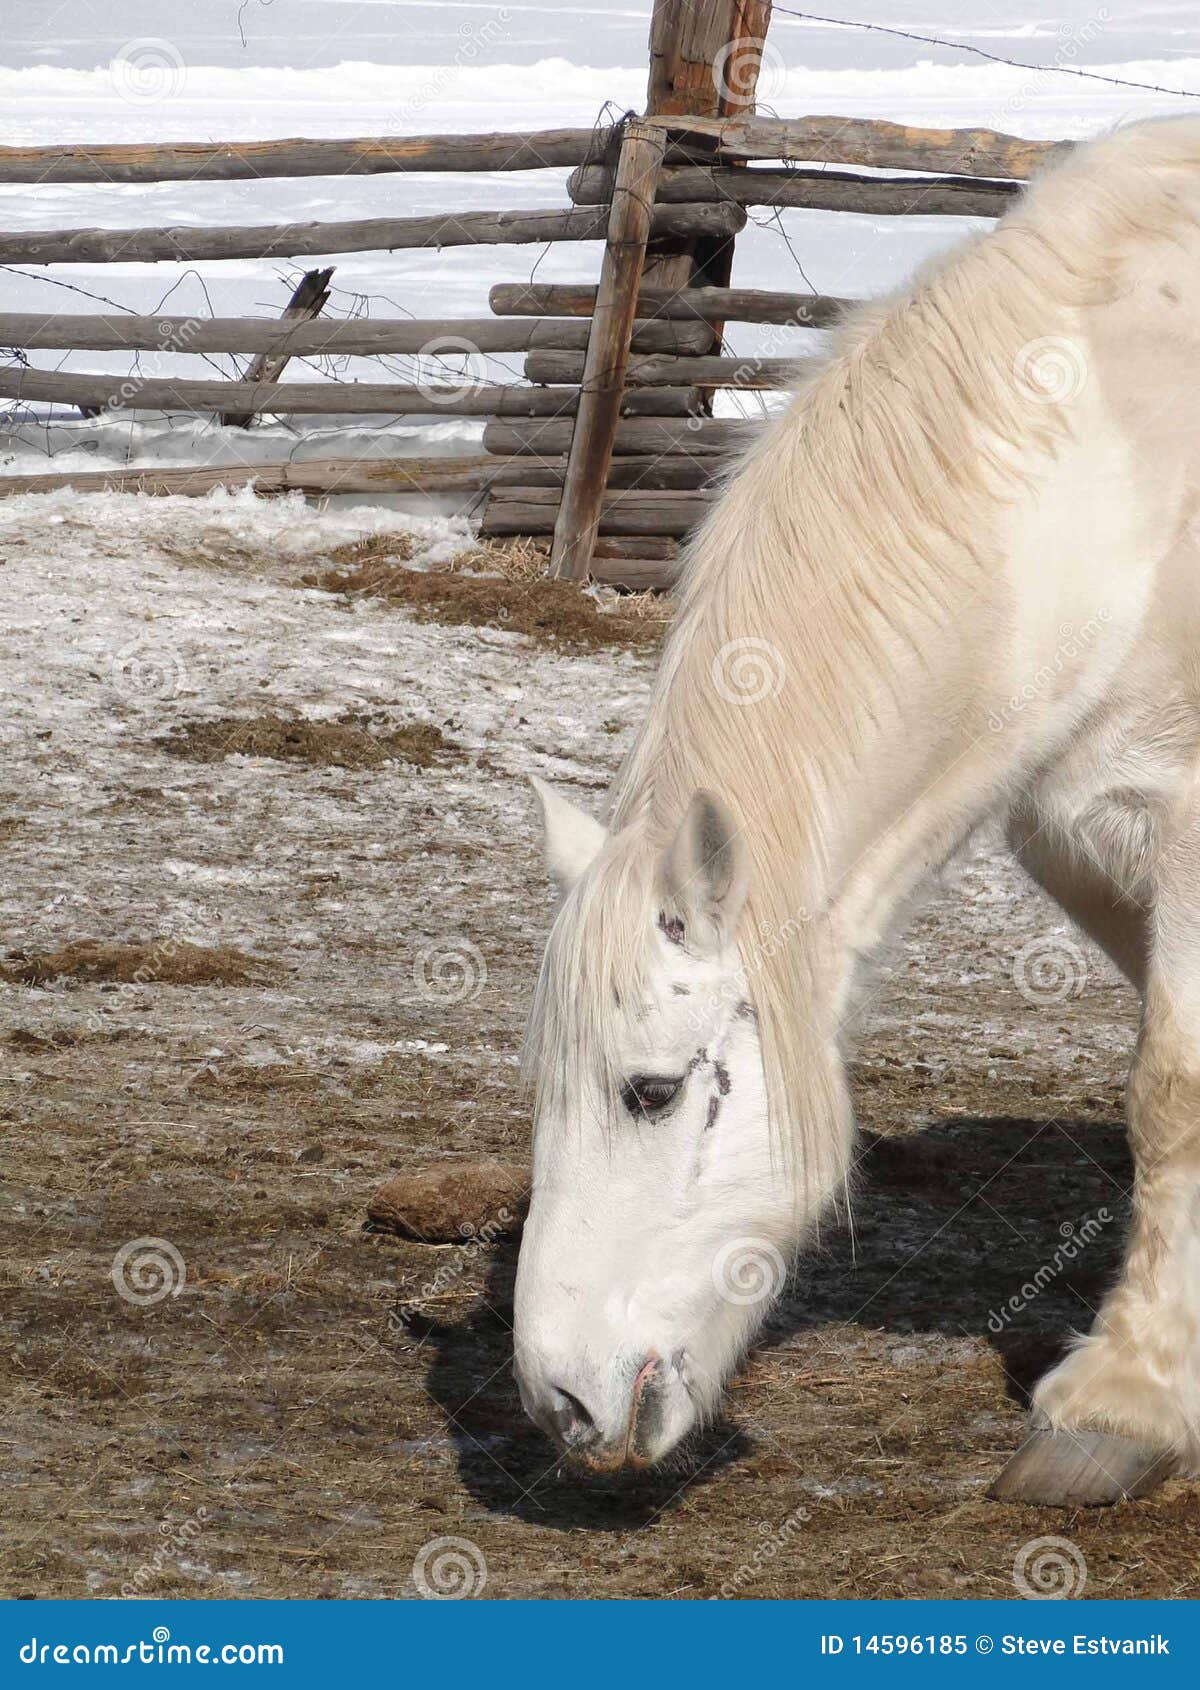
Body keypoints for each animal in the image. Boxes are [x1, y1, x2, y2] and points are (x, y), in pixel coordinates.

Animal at [513, 114, 1200, 1506]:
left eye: (651, 1092)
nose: (560, 1401)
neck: (1121, 485)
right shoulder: (1085, 831)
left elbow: (1172, 1091)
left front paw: (1126, 1405)